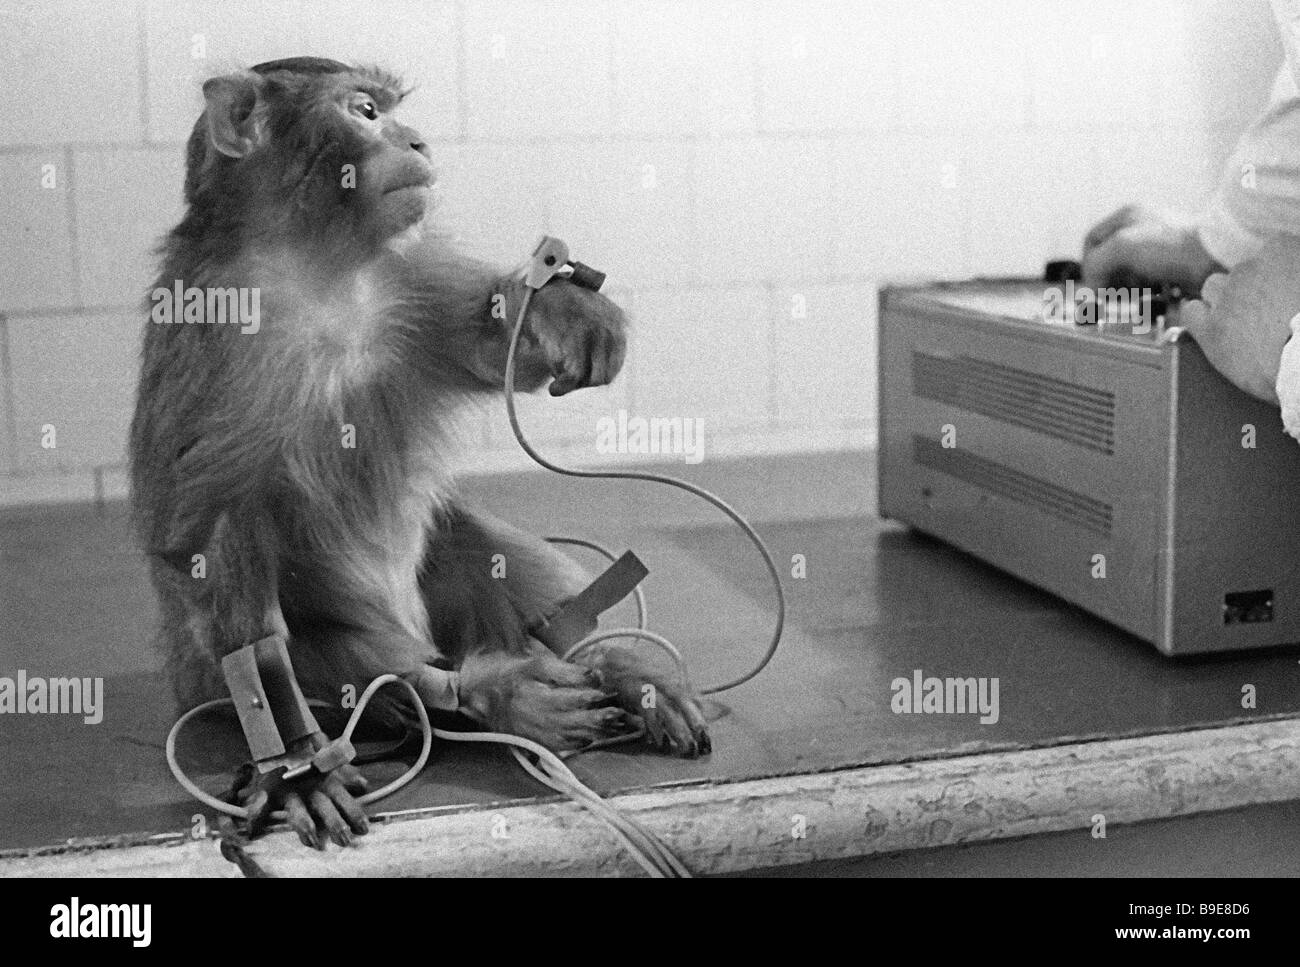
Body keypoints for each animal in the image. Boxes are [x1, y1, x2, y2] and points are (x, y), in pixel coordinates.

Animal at [129, 57, 710, 847]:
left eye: (390, 109)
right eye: (366, 111)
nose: (418, 141)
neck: (317, 268)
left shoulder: (405, 277)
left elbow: (490, 348)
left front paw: (560, 305)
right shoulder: (213, 327)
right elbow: (208, 538)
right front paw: (300, 771)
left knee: (486, 552)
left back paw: (615, 664)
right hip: (210, 677)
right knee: (333, 657)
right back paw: (483, 692)